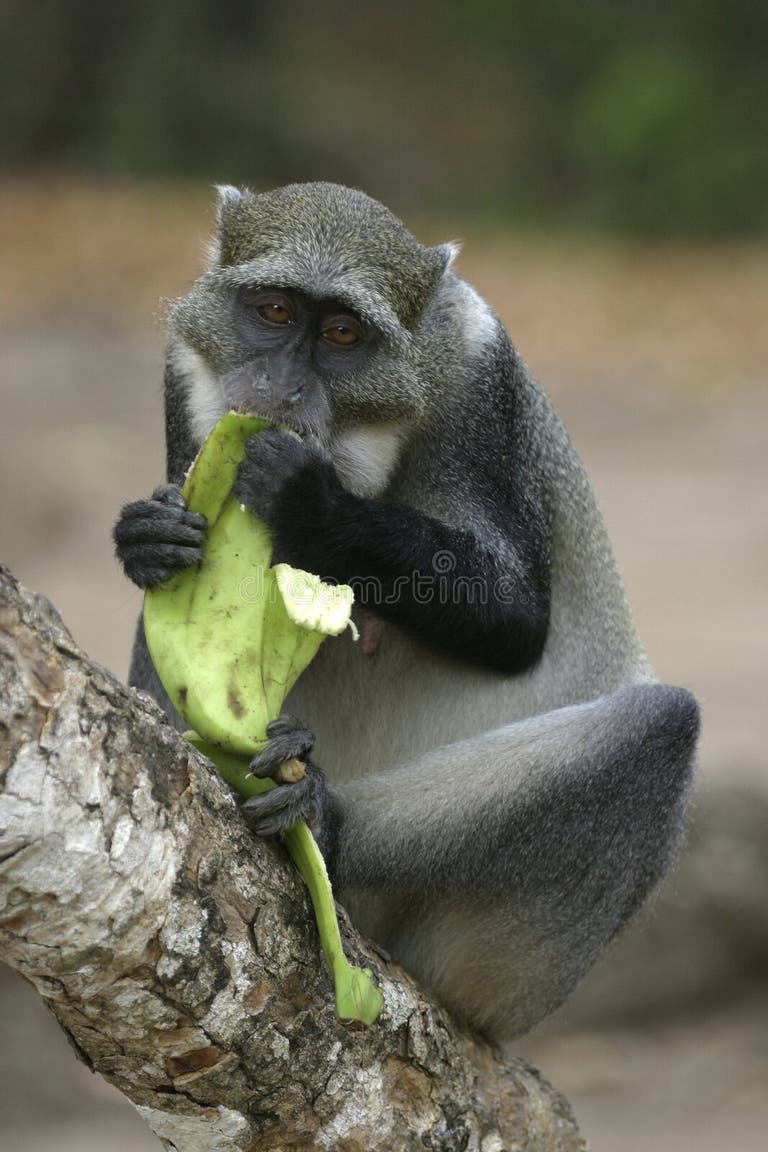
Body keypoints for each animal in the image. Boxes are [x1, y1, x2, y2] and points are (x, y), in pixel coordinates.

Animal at [113, 182, 699, 1042]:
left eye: (344, 334)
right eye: (275, 312)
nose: (280, 390)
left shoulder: (480, 383)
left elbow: (517, 621)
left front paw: (313, 506)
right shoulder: (181, 370)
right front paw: (147, 538)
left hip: (506, 966)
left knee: (661, 727)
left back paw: (323, 818)